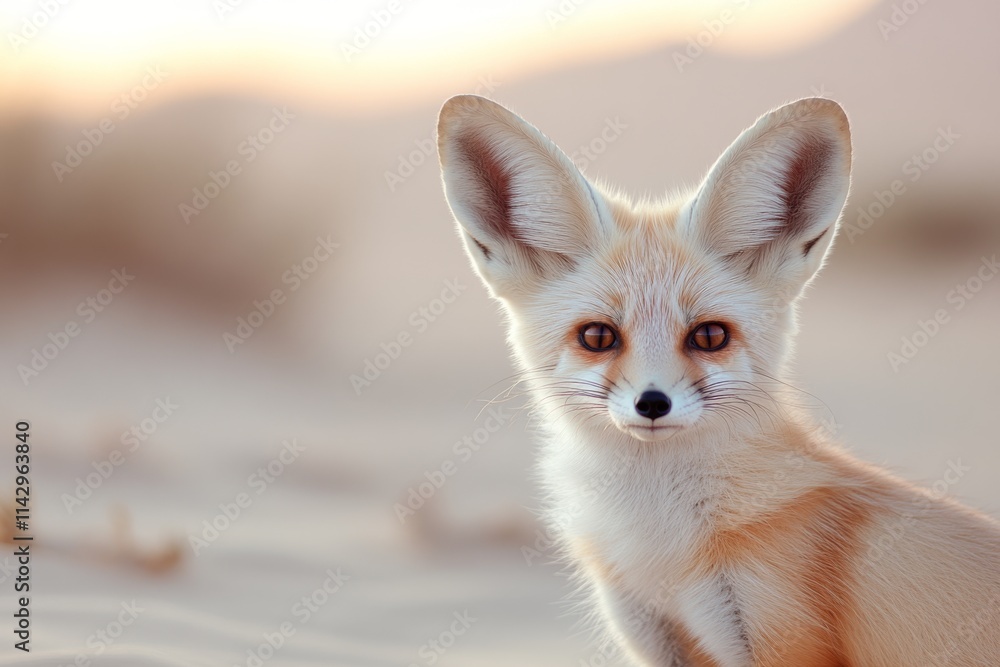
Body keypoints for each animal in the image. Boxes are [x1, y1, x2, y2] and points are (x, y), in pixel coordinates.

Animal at [435, 94, 1000, 666]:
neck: (661, 551)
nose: (652, 403)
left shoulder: (783, 638)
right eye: (597, 336)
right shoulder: (657, 638)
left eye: (709, 336)